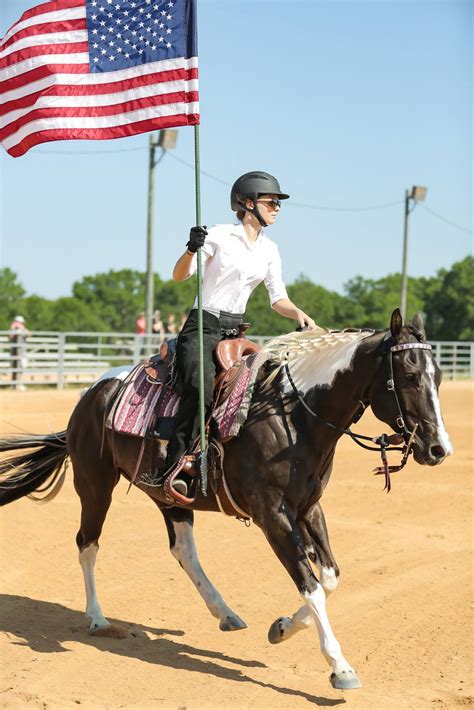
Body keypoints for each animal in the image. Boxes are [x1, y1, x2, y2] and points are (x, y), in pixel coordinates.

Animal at [0, 308, 453, 691]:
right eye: (409, 376)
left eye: (439, 377)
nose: (438, 449)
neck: (292, 418)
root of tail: (92, 391)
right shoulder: (273, 516)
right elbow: (311, 586)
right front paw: (340, 667)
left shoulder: (309, 508)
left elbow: (328, 578)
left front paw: (282, 627)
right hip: (95, 484)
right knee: (88, 544)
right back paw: (97, 618)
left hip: (169, 496)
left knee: (183, 550)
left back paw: (226, 613)